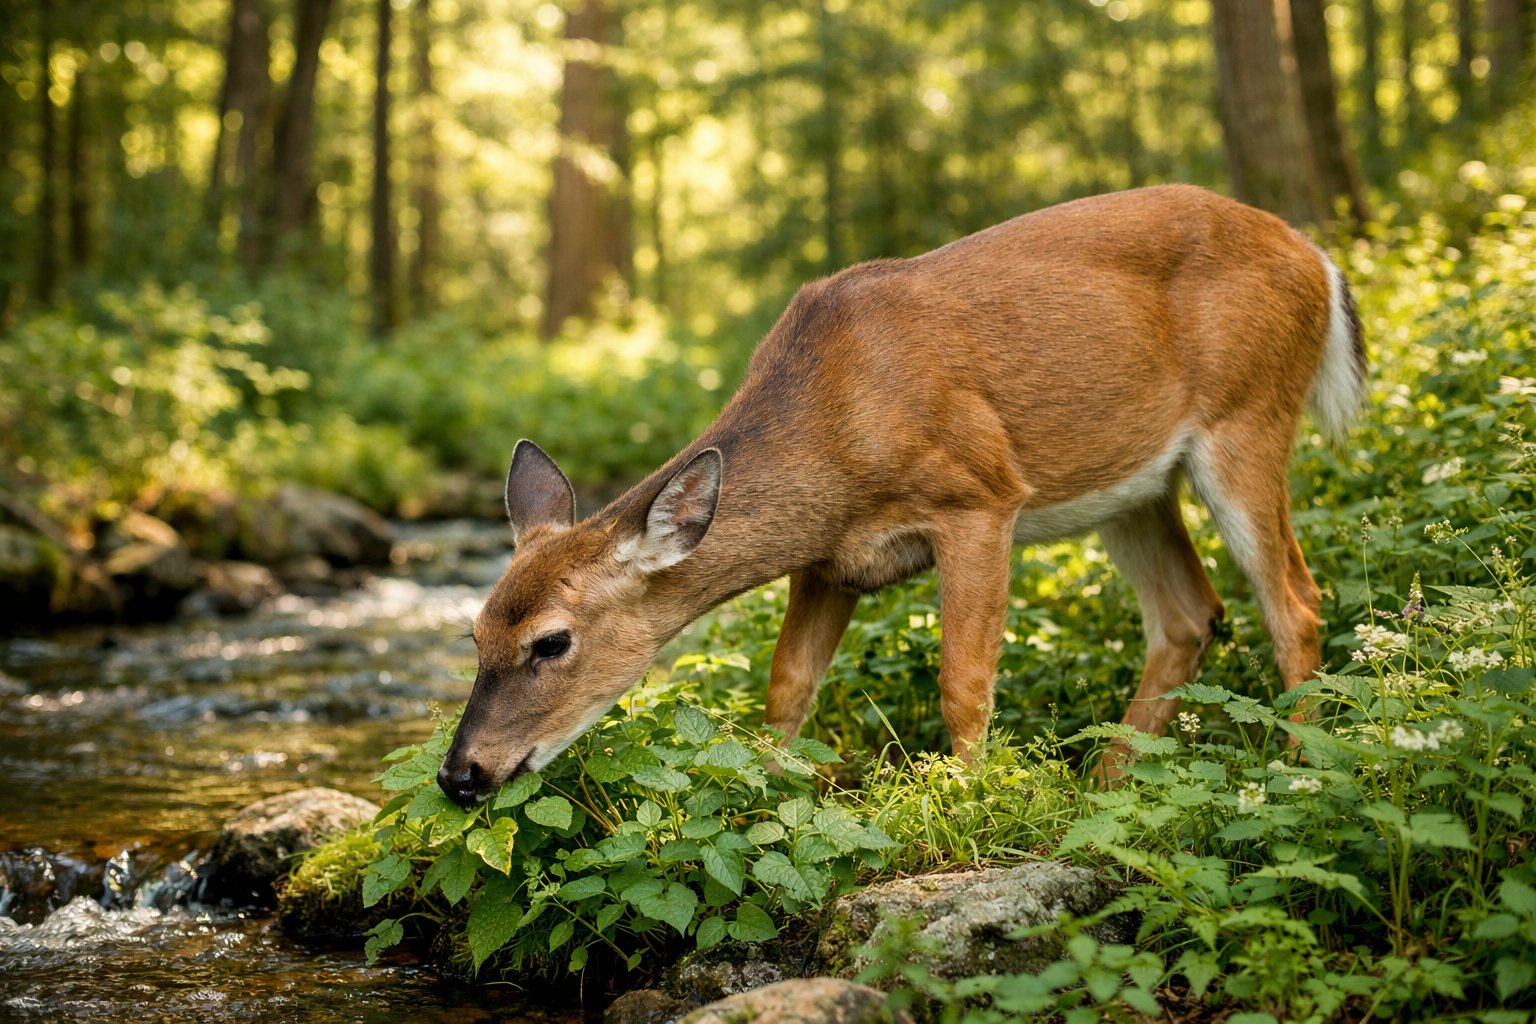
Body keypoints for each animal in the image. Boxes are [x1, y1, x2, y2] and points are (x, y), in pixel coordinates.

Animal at [437, 184, 1365, 806]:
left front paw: (962, 799)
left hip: (1249, 416)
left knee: (1295, 601)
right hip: (1133, 489)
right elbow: (786, 688)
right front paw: (764, 799)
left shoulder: (981, 495)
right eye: (475, 632)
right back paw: (1103, 787)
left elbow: (964, 678)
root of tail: (1318, 258)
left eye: (552, 642)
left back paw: (1300, 773)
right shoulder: (826, 560)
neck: (837, 432)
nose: (459, 773)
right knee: (1189, 614)